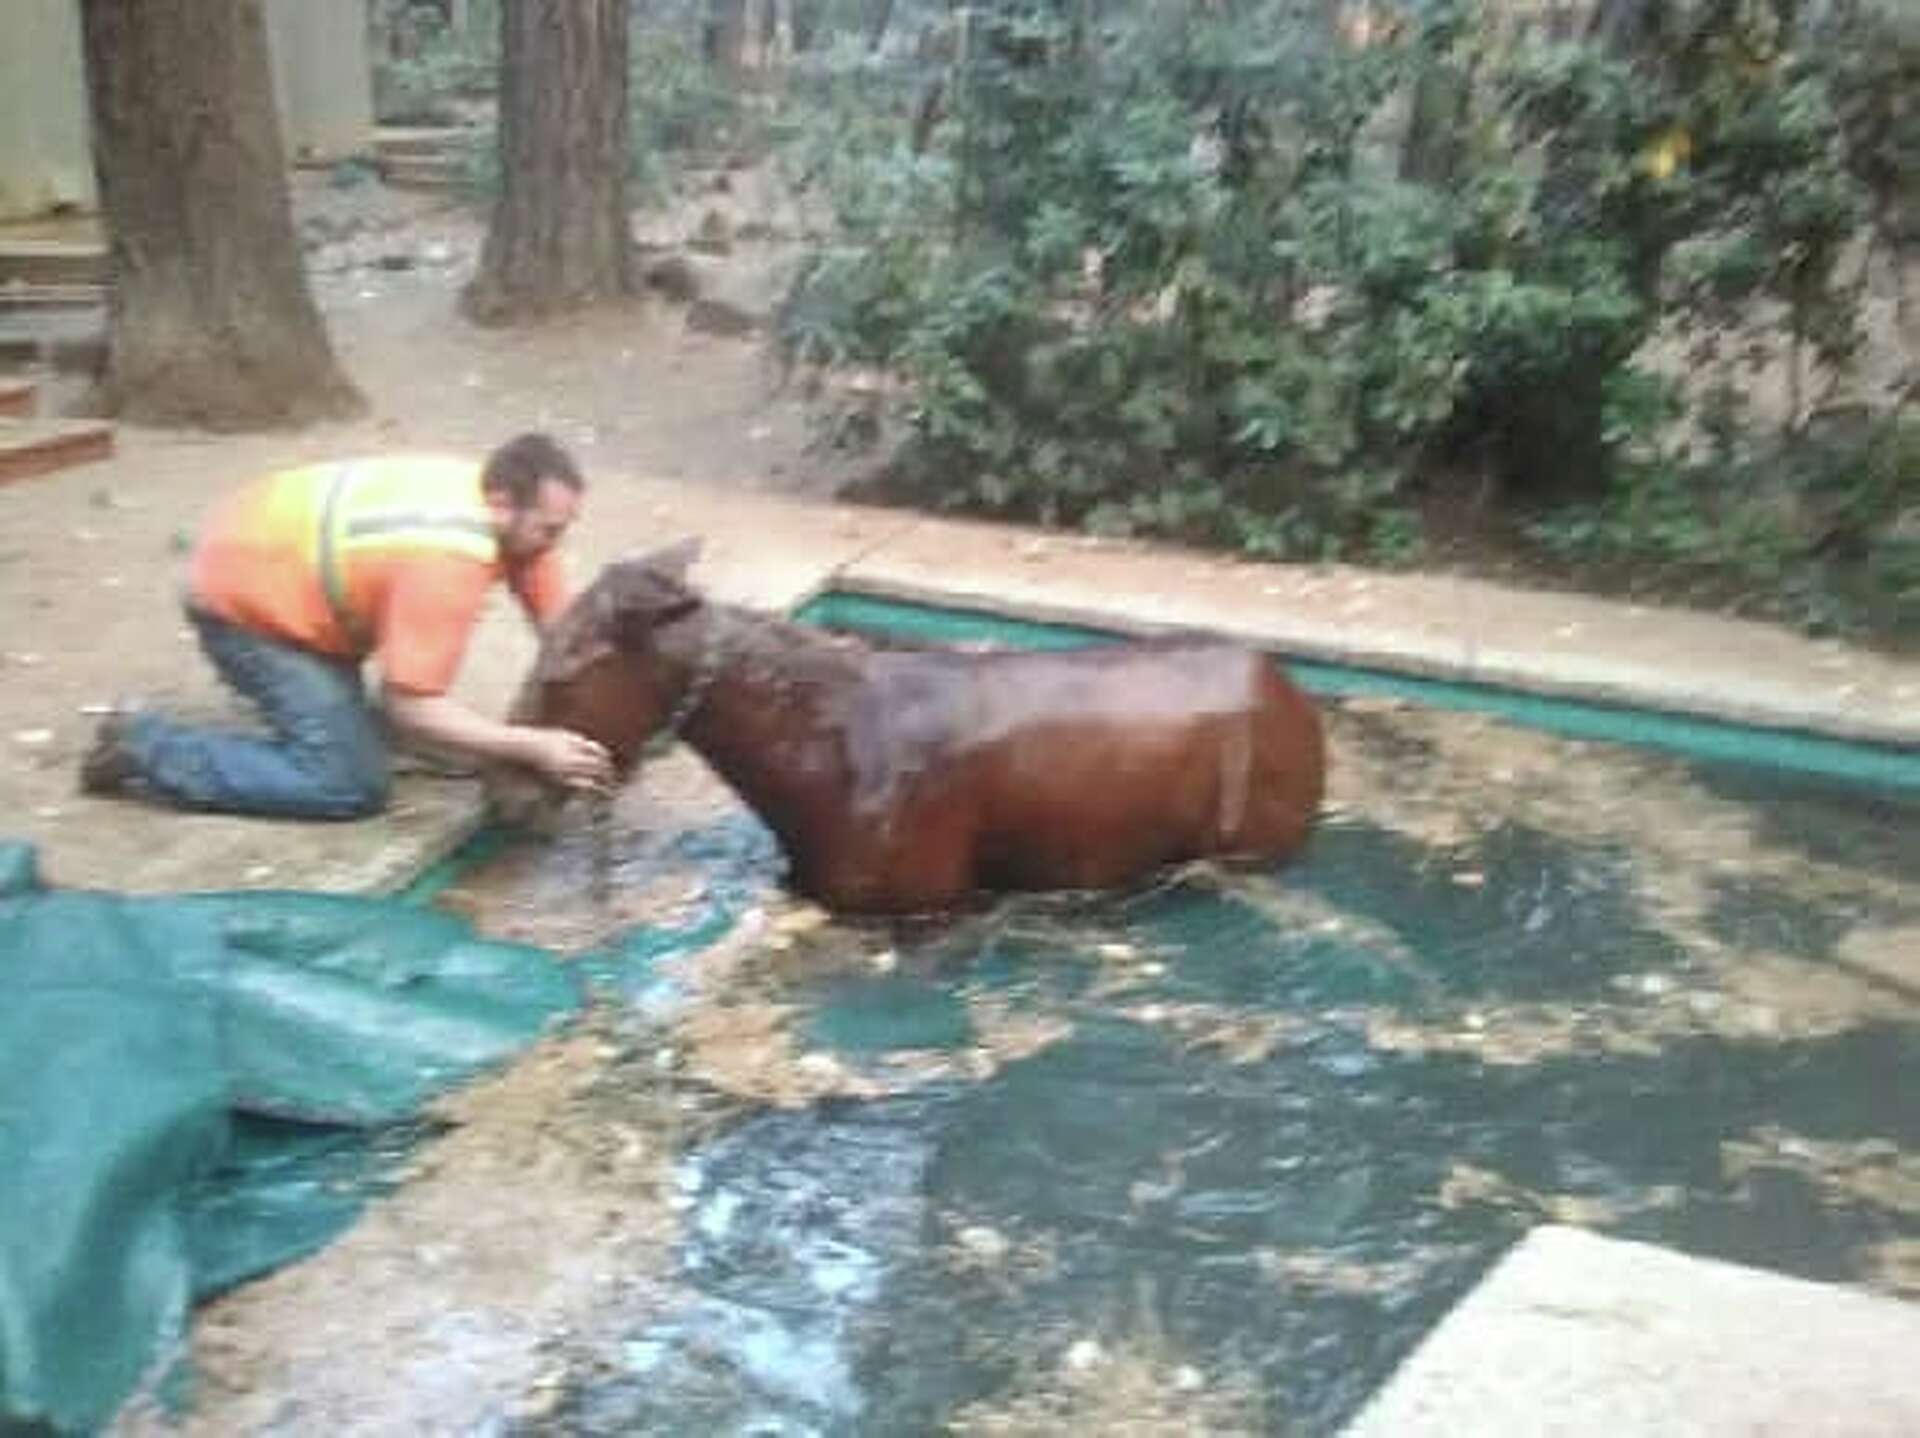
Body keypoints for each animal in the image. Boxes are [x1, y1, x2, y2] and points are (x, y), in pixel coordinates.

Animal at [496, 540, 1327, 915]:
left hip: (1257, 842)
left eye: (563, 665)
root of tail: (1295, 700)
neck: (807, 768)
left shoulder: (921, 903)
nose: (503, 782)